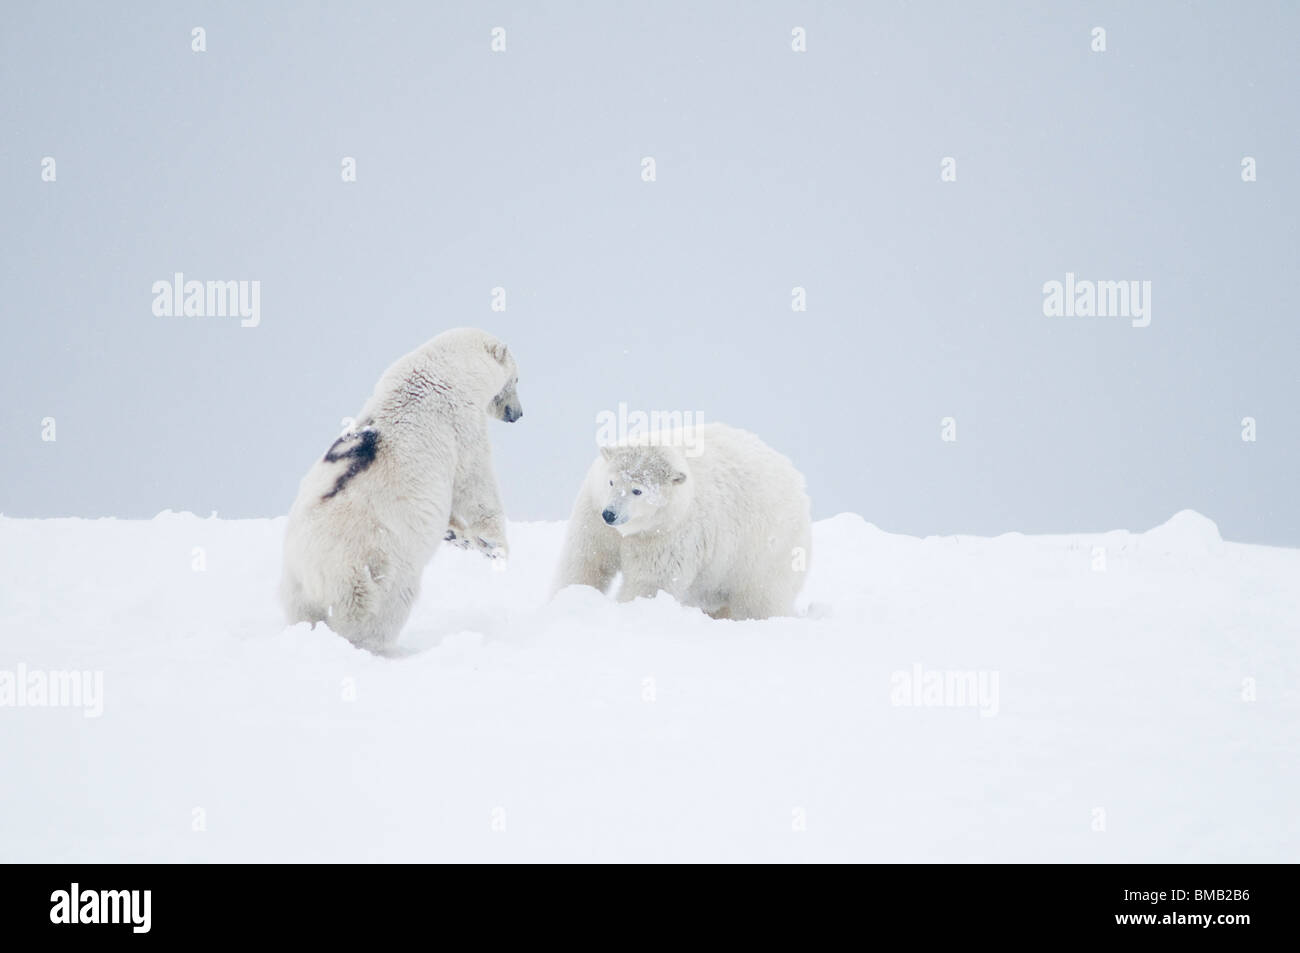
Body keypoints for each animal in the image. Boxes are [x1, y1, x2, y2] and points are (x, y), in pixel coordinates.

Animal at [280, 327, 522, 651]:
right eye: (517, 379)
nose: (518, 413)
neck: (444, 369)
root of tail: (313, 569)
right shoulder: (461, 422)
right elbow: (474, 479)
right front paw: (494, 546)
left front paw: (456, 534)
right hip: (371, 567)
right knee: (382, 610)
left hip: (293, 578)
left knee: (302, 612)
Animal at [552, 422, 811, 620]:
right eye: (611, 482)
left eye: (637, 491)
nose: (610, 514)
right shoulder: (594, 513)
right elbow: (586, 560)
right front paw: (569, 599)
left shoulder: (668, 535)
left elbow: (649, 582)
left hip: (764, 553)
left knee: (759, 598)